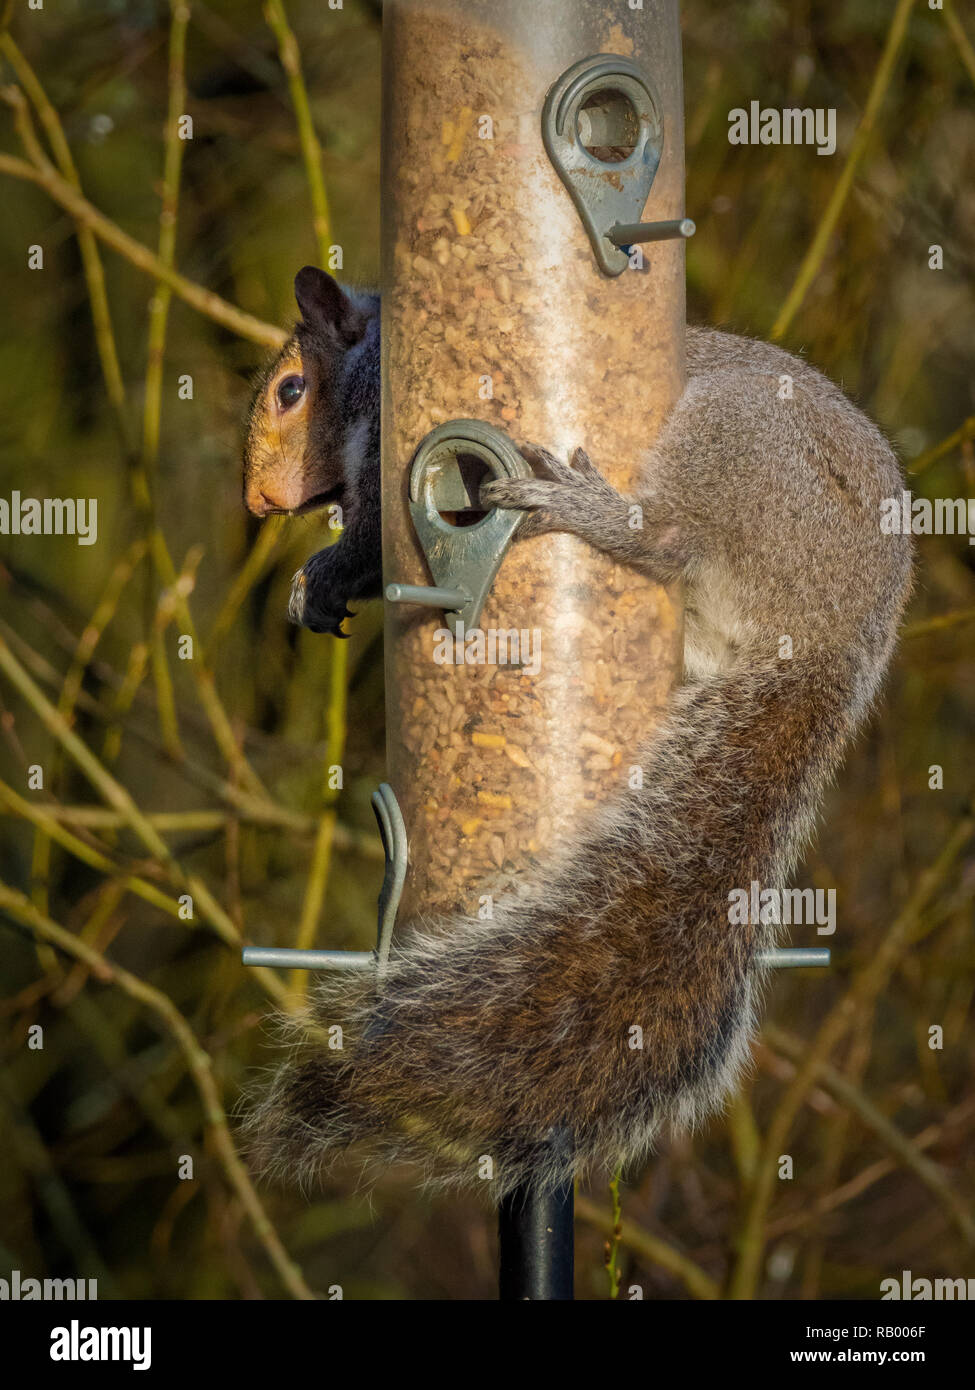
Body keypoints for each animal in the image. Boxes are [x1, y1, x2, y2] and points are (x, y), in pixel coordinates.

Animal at [241, 266, 913, 1197]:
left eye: (290, 390)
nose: (257, 501)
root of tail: (837, 639)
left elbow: (376, 538)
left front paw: (325, 572)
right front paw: (314, 587)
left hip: (745, 447)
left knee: (669, 543)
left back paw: (591, 510)